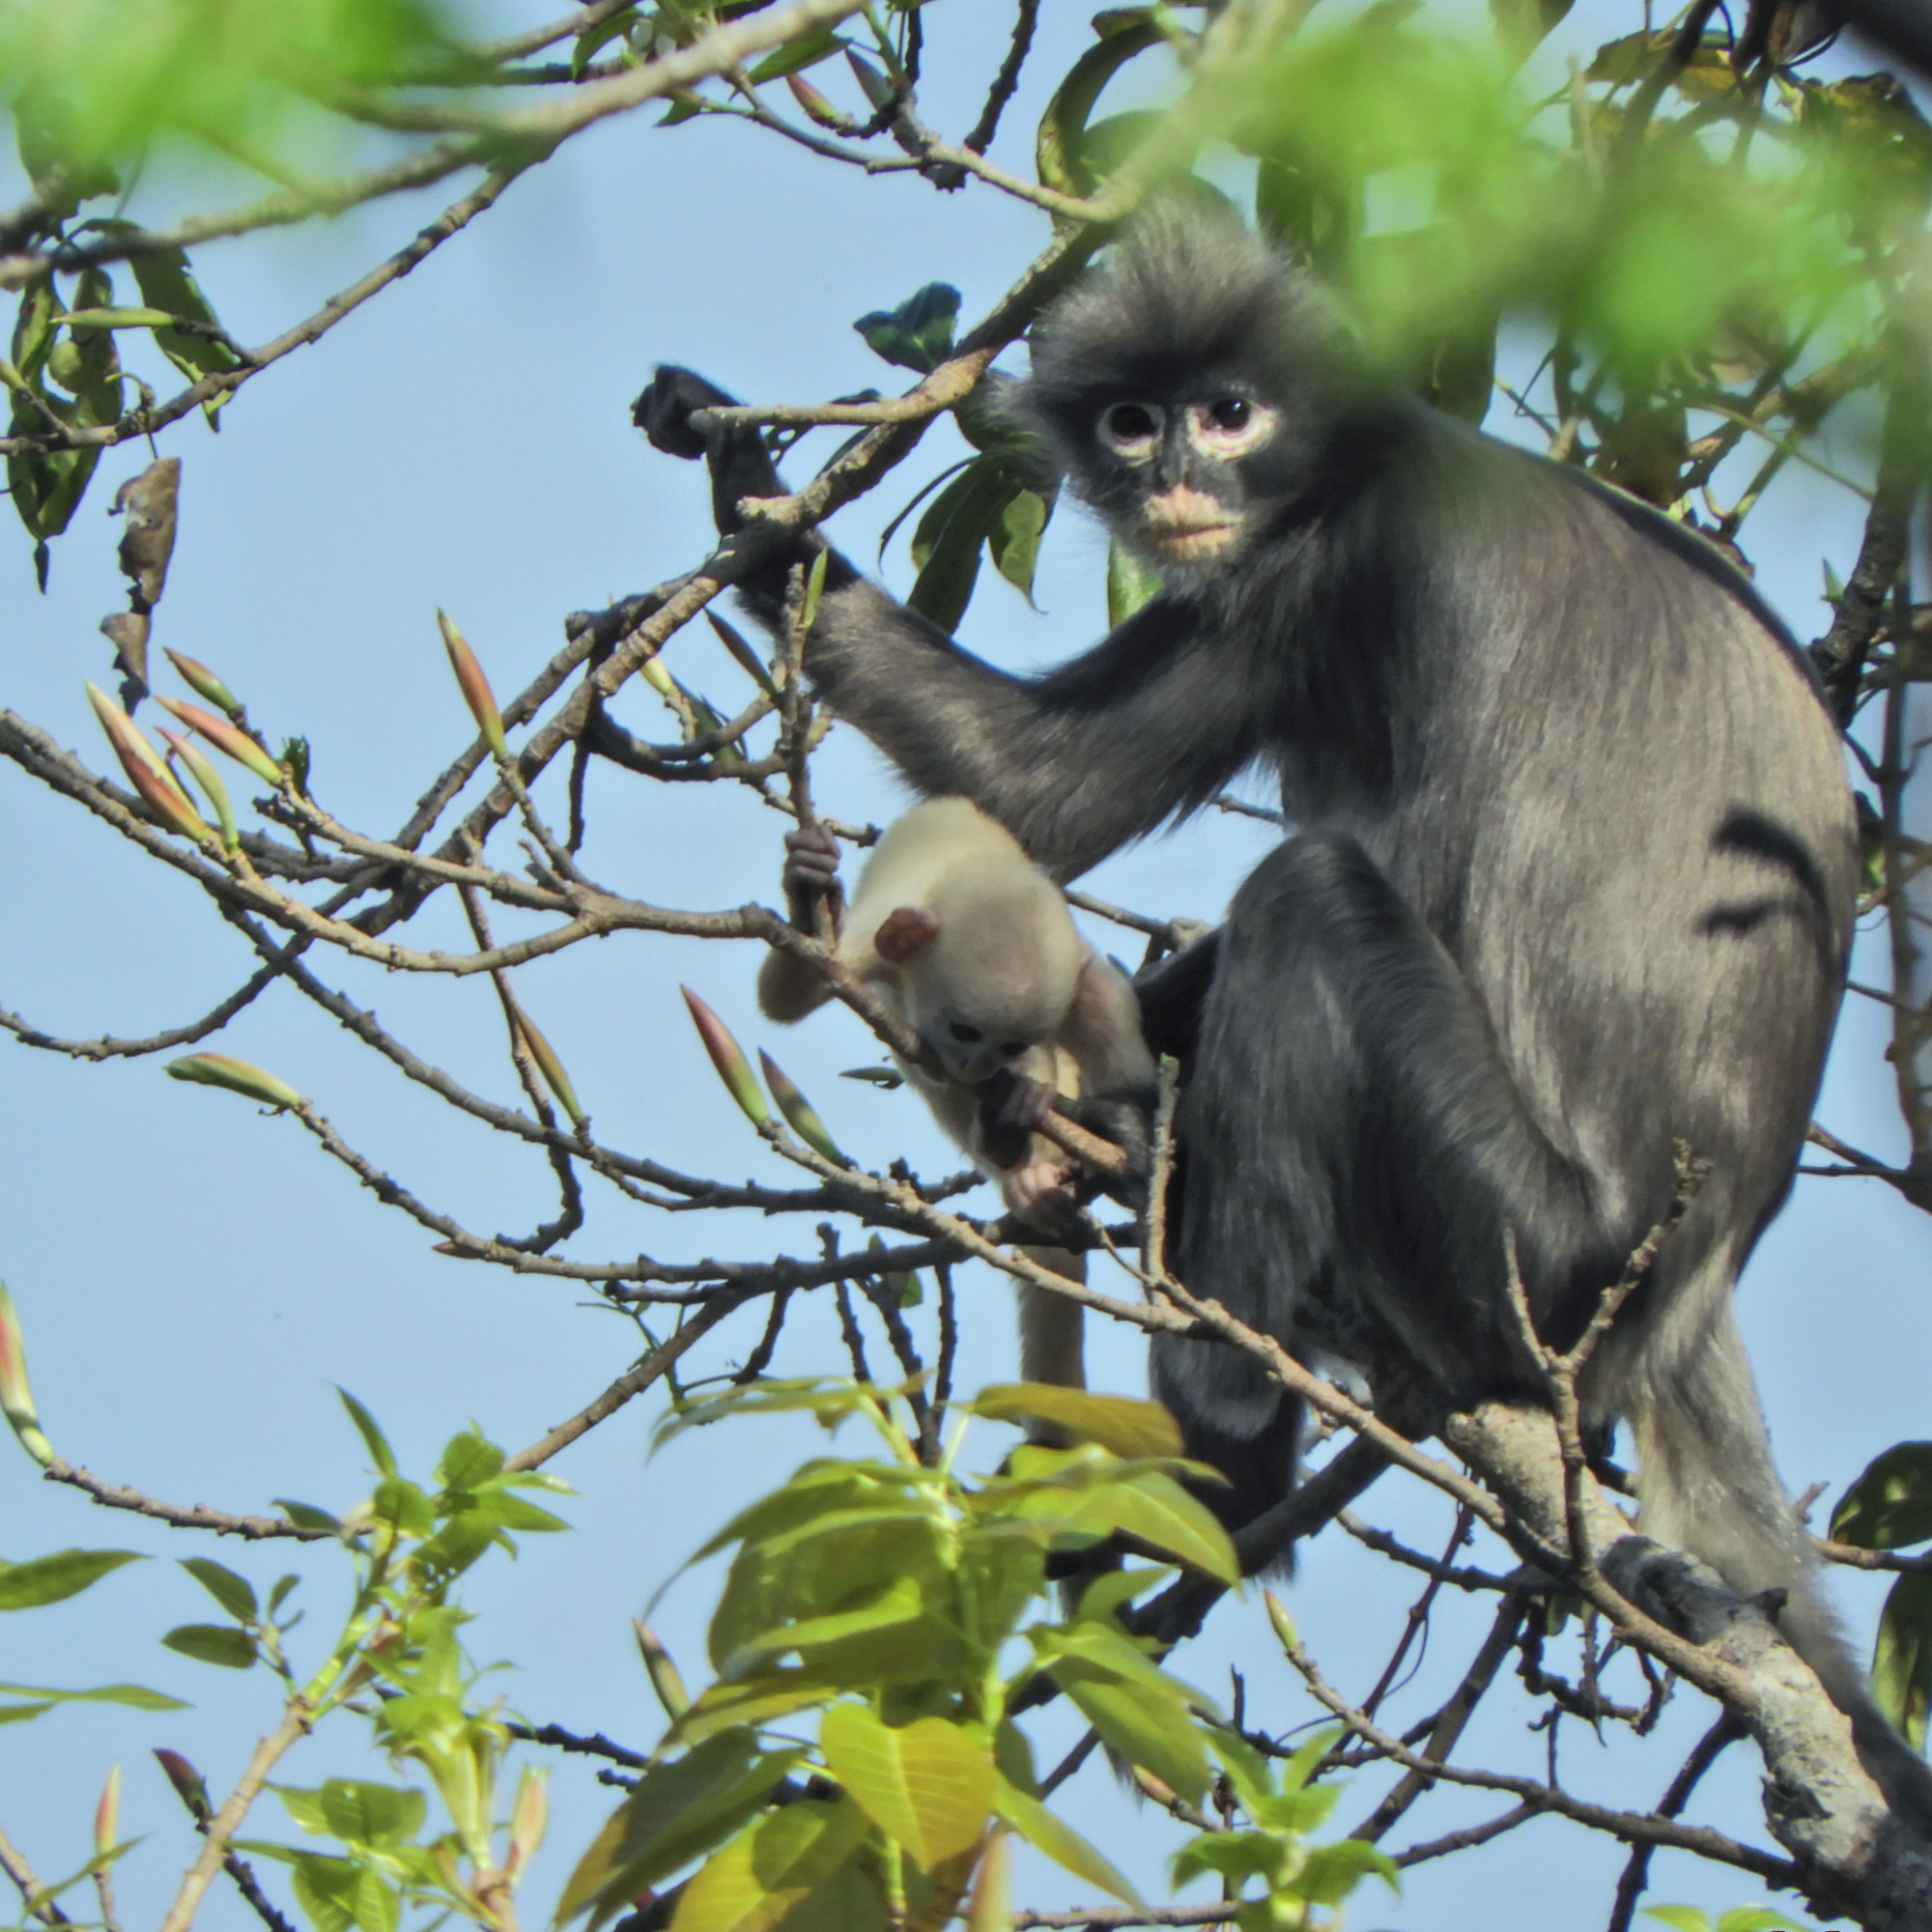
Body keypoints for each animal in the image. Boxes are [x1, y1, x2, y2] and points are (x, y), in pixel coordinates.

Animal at [758, 796, 1157, 1403]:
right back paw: (1012, 1151)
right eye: (964, 1031)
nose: (977, 1067)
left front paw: (1124, 1133)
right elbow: (789, 993)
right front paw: (807, 886)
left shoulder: (1077, 979)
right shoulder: (875, 941)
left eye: (1009, 1042)